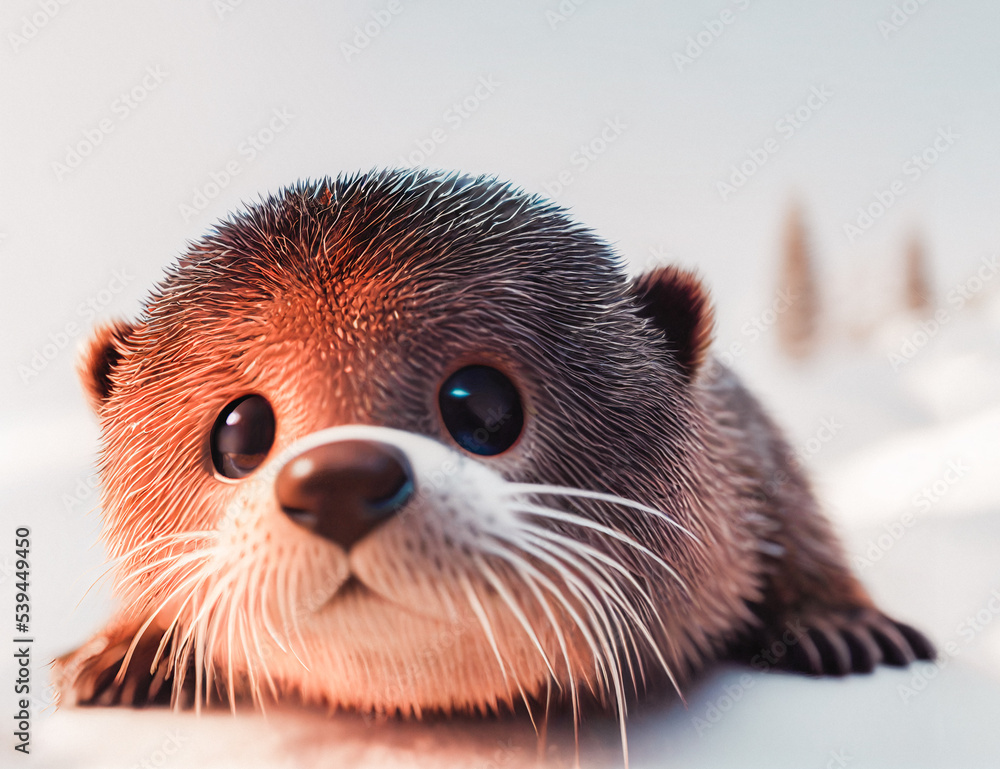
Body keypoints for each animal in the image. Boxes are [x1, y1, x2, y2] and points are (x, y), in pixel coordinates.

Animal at [53, 169, 933, 735]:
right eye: (239, 432)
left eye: (481, 404)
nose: (341, 476)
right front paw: (125, 647)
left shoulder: (743, 430)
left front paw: (838, 622)